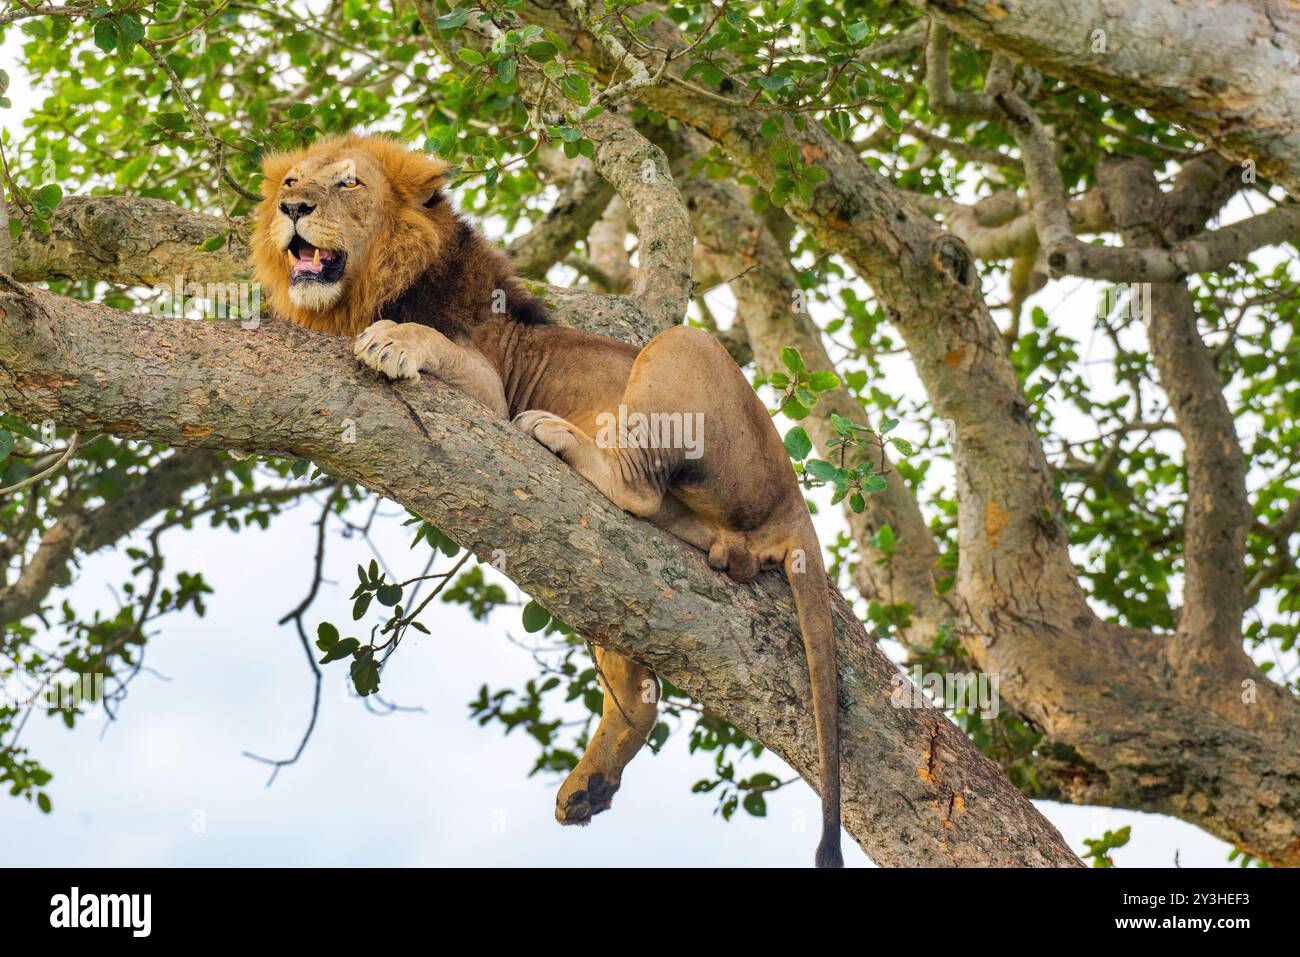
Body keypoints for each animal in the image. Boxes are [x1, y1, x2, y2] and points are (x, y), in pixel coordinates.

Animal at [252, 134, 844, 867]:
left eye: (348, 183)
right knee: (636, 685)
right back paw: (589, 785)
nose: (292, 208)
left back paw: (554, 432)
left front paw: (392, 340)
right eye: (293, 181)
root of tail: (796, 503)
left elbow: (427, 345)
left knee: (641, 488)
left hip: (682, 349)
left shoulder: (485, 389)